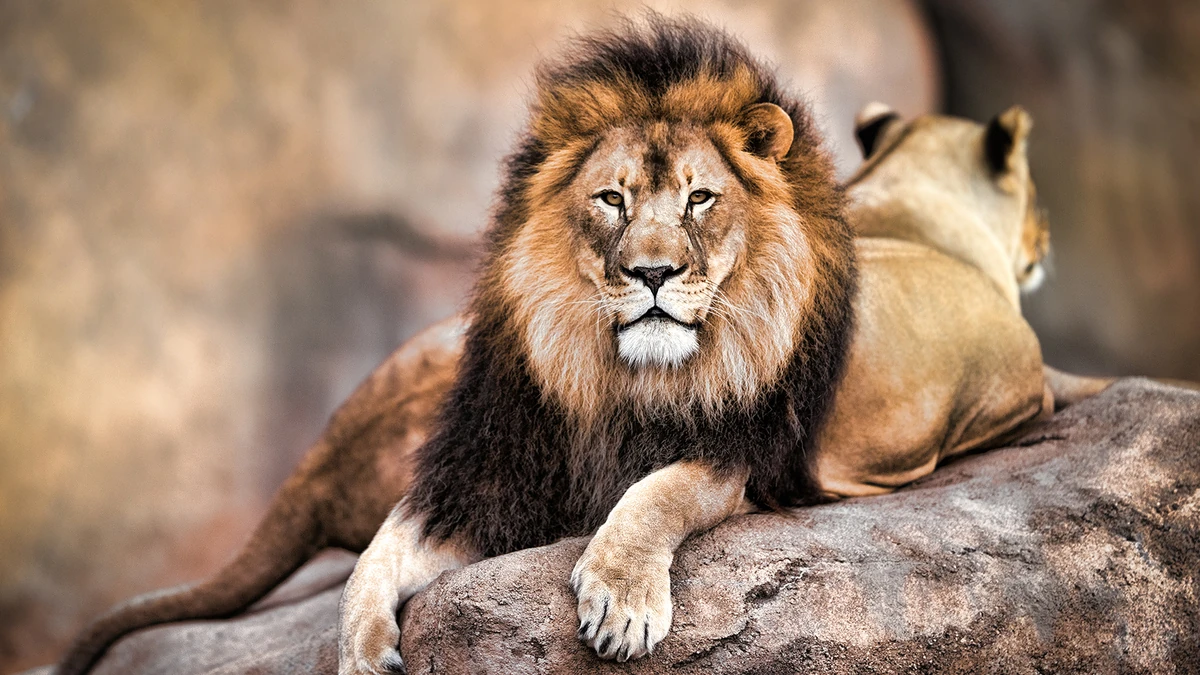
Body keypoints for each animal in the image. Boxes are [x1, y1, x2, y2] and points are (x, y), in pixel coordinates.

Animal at [56, 16, 859, 674]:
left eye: (699, 198)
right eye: (612, 198)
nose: (652, 273)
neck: (623, 380)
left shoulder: (745, 460)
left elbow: (662, 489)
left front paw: (619, 597)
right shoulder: (479, 478)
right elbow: (375, 558)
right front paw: (361, 651)